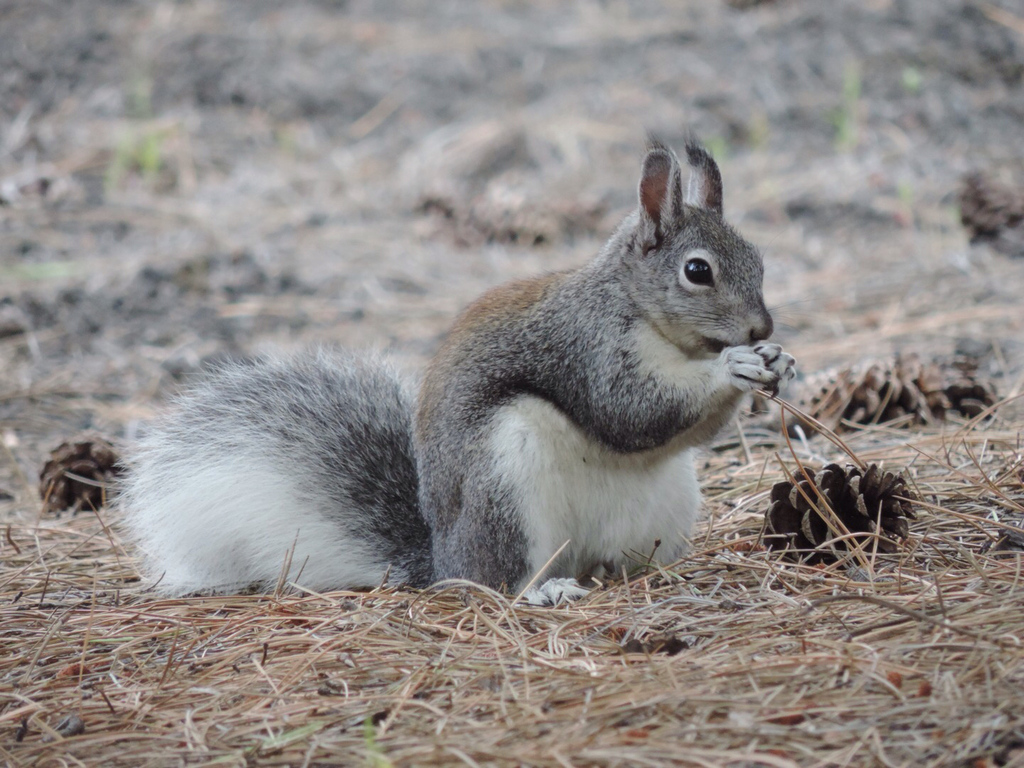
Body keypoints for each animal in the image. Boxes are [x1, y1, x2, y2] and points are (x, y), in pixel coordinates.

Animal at [119, 137, 796, 605]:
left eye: (760, 260)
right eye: (697, 271)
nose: (761, 328)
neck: (646, 316)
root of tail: (442, 559)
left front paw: (778, 361)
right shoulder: (587, 349)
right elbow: (629, 411)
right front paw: (734, 367)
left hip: (667, 506)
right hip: (506, 485)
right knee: (498, 581)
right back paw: (544, 590)